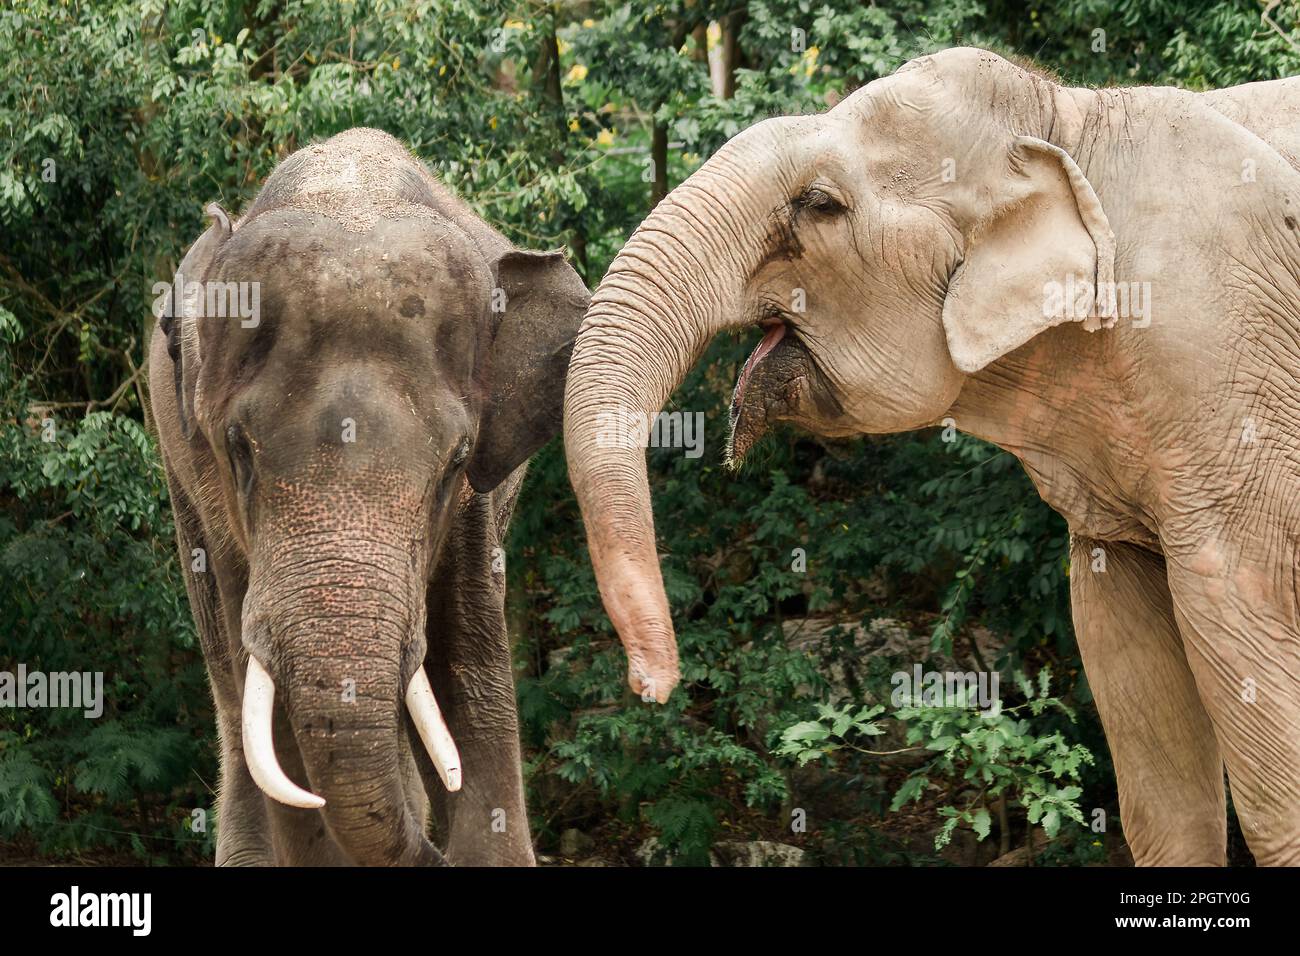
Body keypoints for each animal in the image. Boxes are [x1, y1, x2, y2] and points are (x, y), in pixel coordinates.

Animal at [148, 127, 587, 865]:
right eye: (238, 449)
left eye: (456, 462)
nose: (433, 853)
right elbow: (272, 708)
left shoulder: (473, 508)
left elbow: (470, 670)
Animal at [561, 48, 1300, 866]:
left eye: (819, 203)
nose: (652, 684)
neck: (1065, 120)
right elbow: (1154, 763)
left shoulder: (1229, 374)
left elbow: (1253, 689)